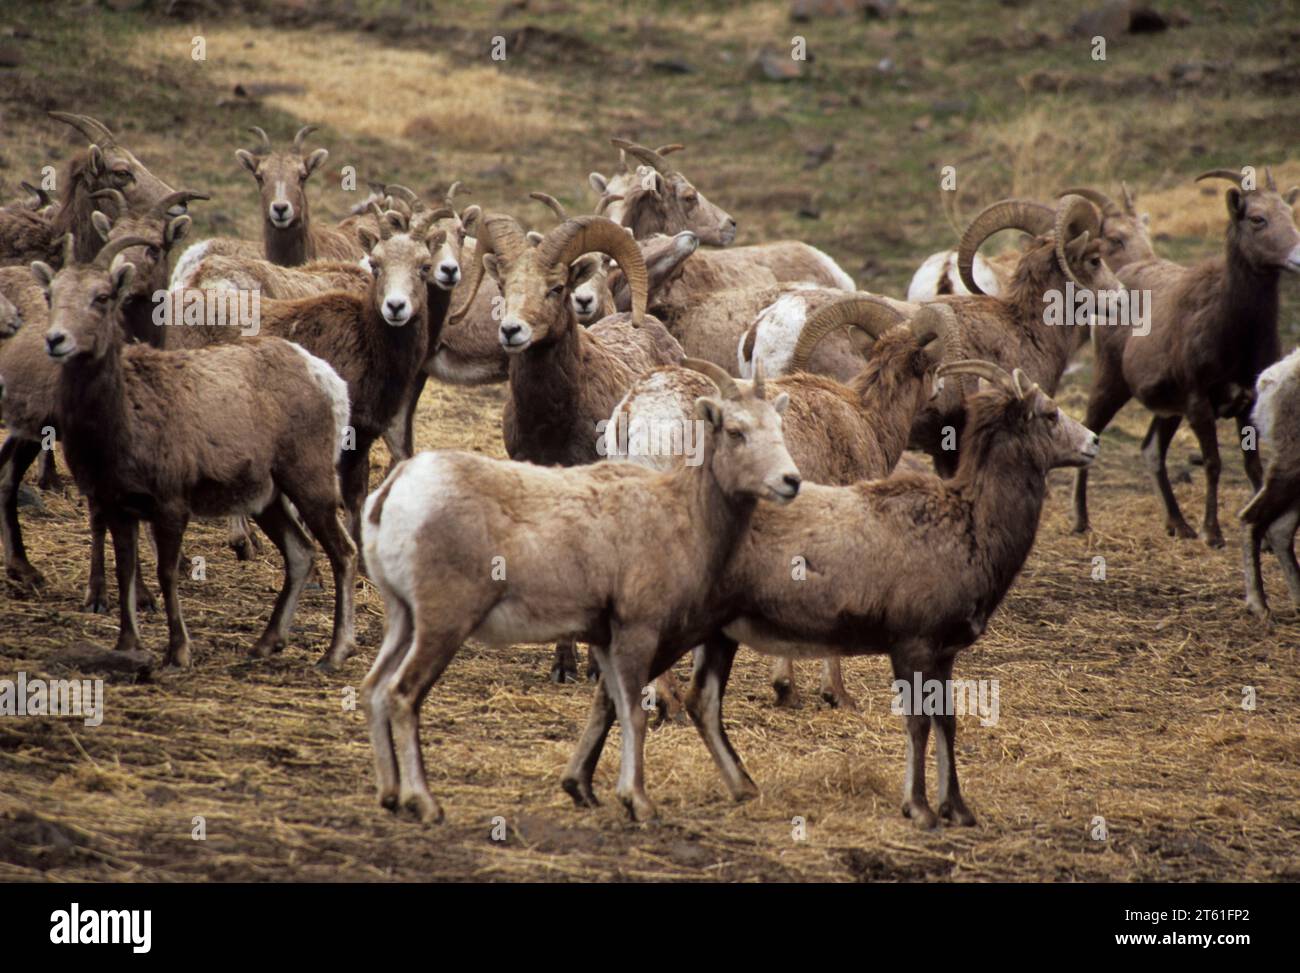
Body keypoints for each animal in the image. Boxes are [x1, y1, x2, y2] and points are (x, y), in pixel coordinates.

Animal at [35, 233, 357, 670]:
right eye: (50, 295)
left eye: (102, 296)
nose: (56, 341)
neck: (123, 417)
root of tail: (323, 375)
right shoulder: (118, 507)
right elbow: (125, 572)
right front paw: (128, 646)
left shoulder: (170, 506)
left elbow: (167, 573)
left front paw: (179, 651)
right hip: (268, 499)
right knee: (301, 554)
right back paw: (265, 643)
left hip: (310, 484)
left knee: (343, 552)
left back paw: (334, 653)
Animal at [359, 358, 799, 823]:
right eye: (735, 431)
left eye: (777, 426)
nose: (790, 481)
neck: (682, 514)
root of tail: (395, 492)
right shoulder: (637, 632)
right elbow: (633, 714)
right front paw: (638, 802)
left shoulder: (605, 640)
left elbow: (608, 706)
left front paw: (584, 789)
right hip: (441, 625)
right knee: (402, 695)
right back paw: (426, 804)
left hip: (402, 619)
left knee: (373, 690)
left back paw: (390, 796)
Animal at [566, 359, 1101, 825]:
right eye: (1050, 413)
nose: (1093, 442)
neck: (970, 524)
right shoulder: (912, 645)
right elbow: (917, 723)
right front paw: (919, 809)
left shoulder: (945, 653)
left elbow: (946, 721)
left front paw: (960, 810)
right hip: (677, 628)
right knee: (624, 690)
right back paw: (609, 791)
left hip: (718, 636)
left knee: (696, 702)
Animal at [610, 298, 950, 710]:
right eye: (932, 365)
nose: (940, 389)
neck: (867, 419)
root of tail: (638, 408)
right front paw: (834, 695)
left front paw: (786, 689)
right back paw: (668, 702)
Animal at [1071, 168, 1300, 546]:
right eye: (1257, 218)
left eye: (1290, 214)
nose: (1297, 257)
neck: (1236, 333)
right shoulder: (1198, 402)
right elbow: (1213, 463)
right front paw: (1213, 533)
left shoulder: (1245, 404)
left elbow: (1252, 466)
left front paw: (1263, 541)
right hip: (1110, 385)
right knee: (1091, 431)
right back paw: (1080, 522)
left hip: (1168, 411)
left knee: (1152, 450)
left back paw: (1178, 525)